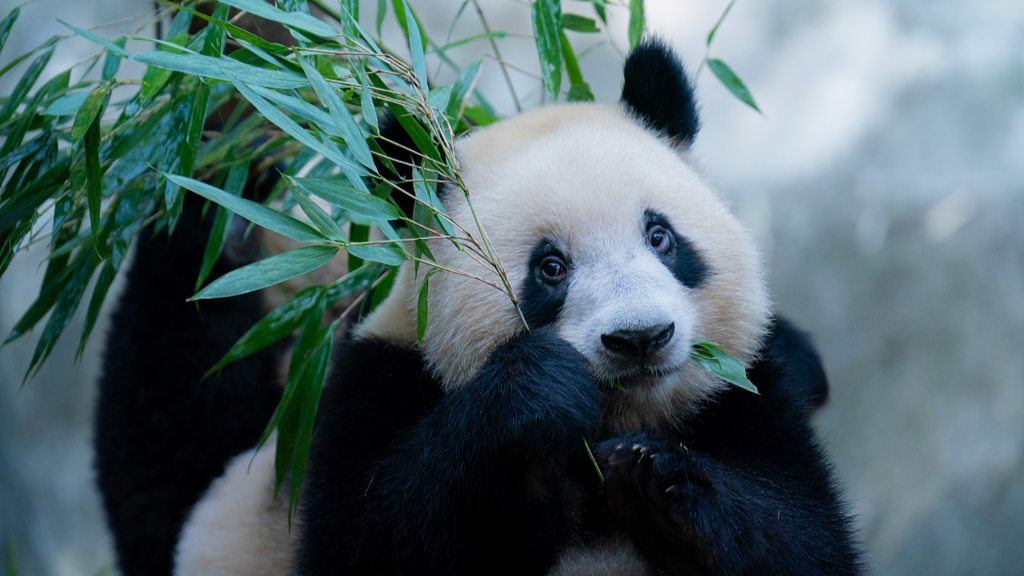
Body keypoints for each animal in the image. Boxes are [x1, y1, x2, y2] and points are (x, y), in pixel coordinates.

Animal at [94, 39, 861, 576]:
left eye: (660, 236)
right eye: (550, 268)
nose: (641, 338)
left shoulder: (744, 394)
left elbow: (802, 538)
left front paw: (657, 480)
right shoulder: (374, 390)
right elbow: (375, 540)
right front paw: (537, 399)